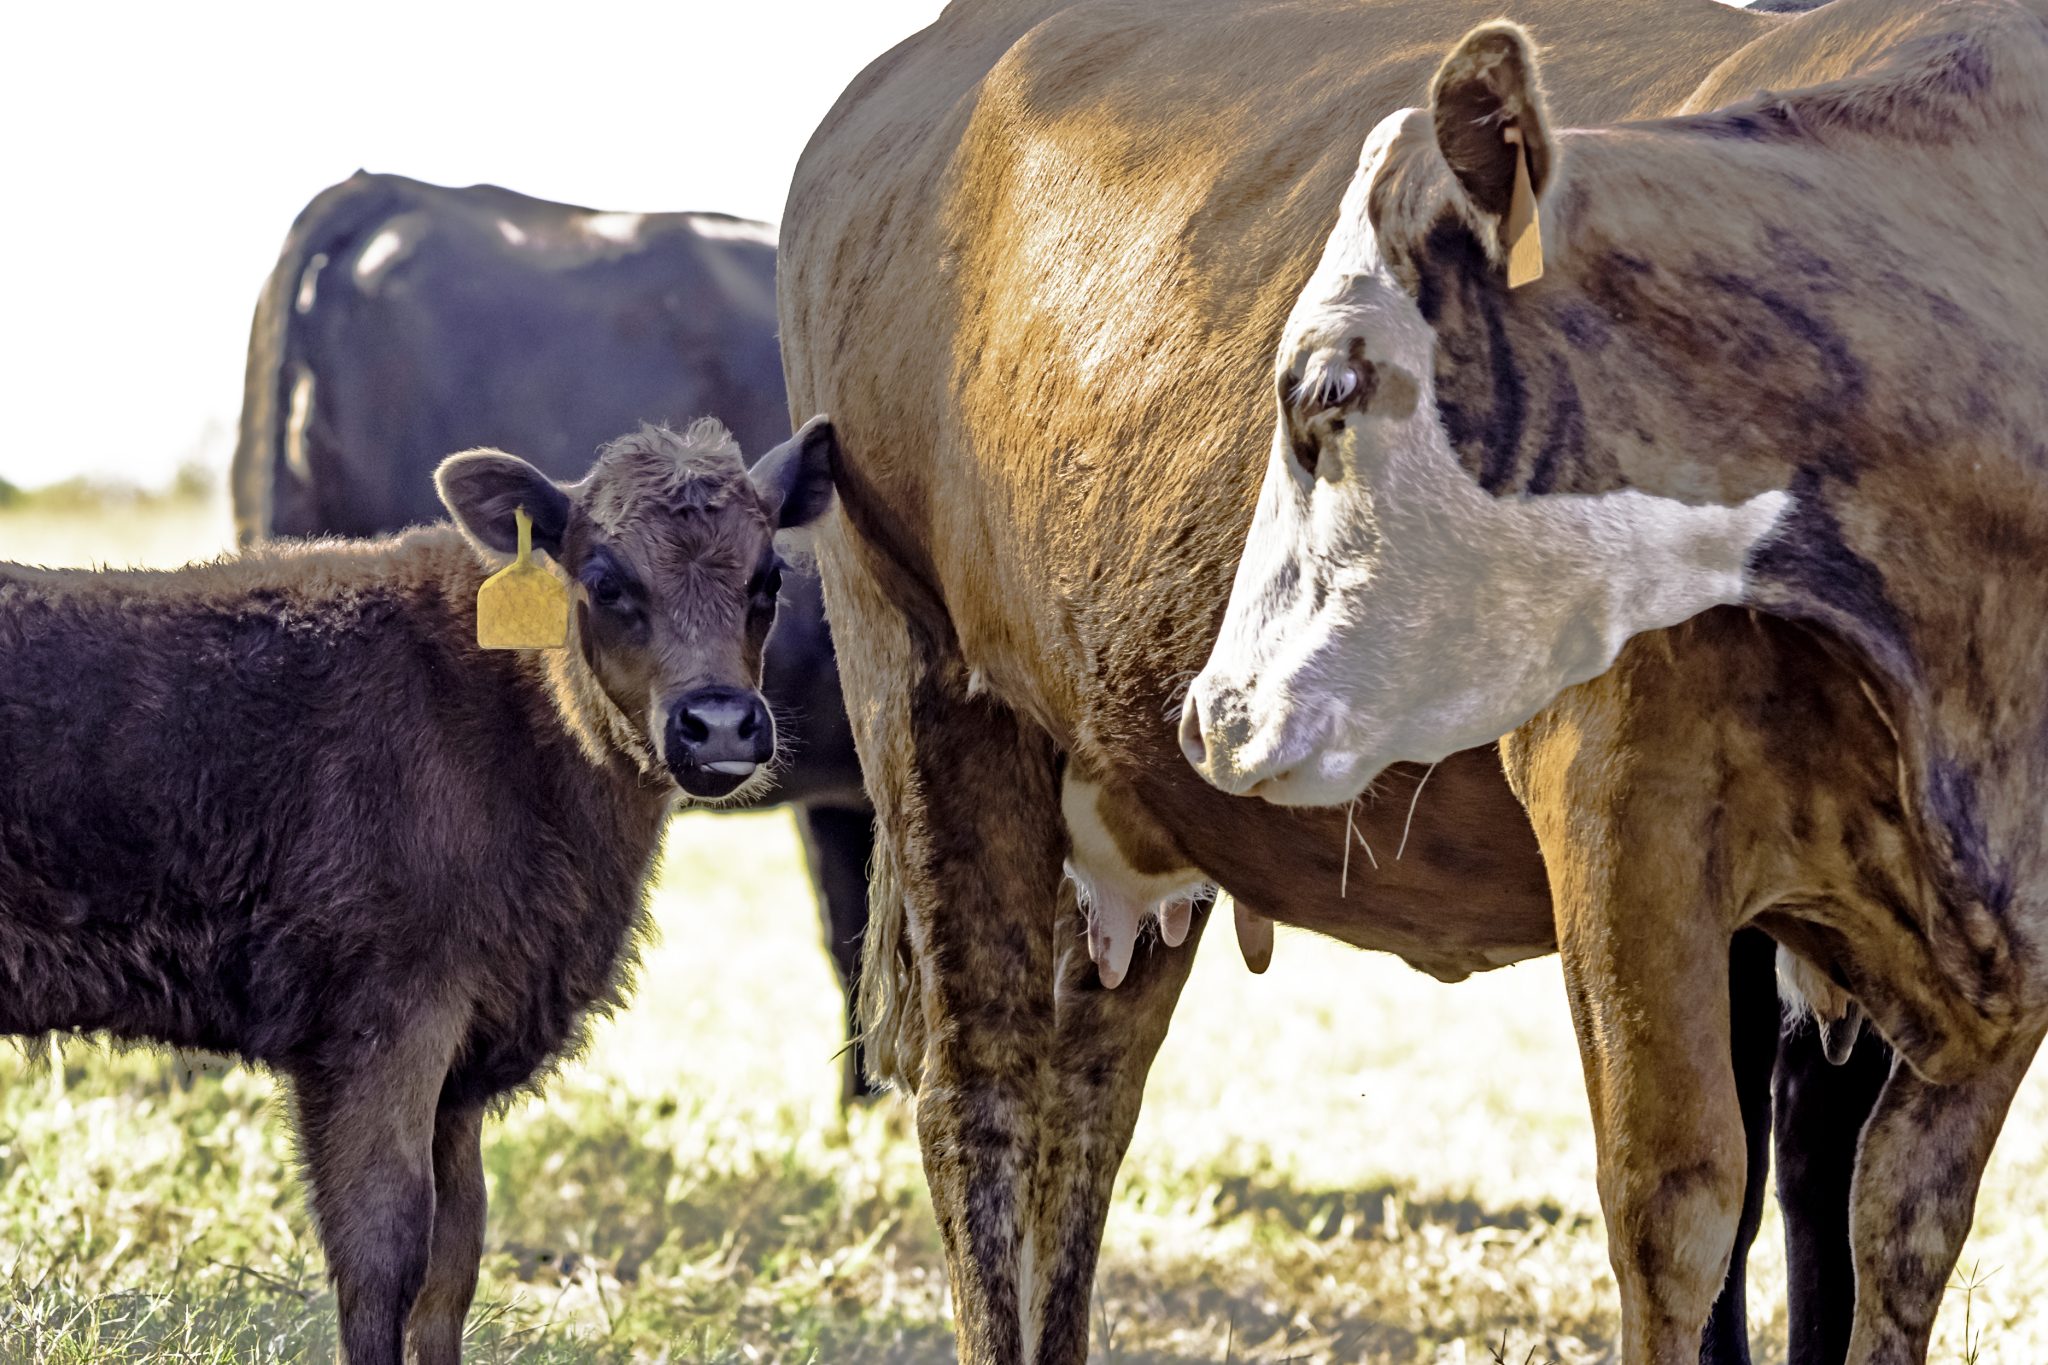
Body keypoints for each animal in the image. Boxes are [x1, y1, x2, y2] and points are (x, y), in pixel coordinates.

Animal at [0, 417, 837, 1365]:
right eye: (604, 579)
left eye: (769, 578)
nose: (720, 723)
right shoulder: (383, 1020)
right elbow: (383, 1252)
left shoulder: (464, 1062)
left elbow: (453, 1262)